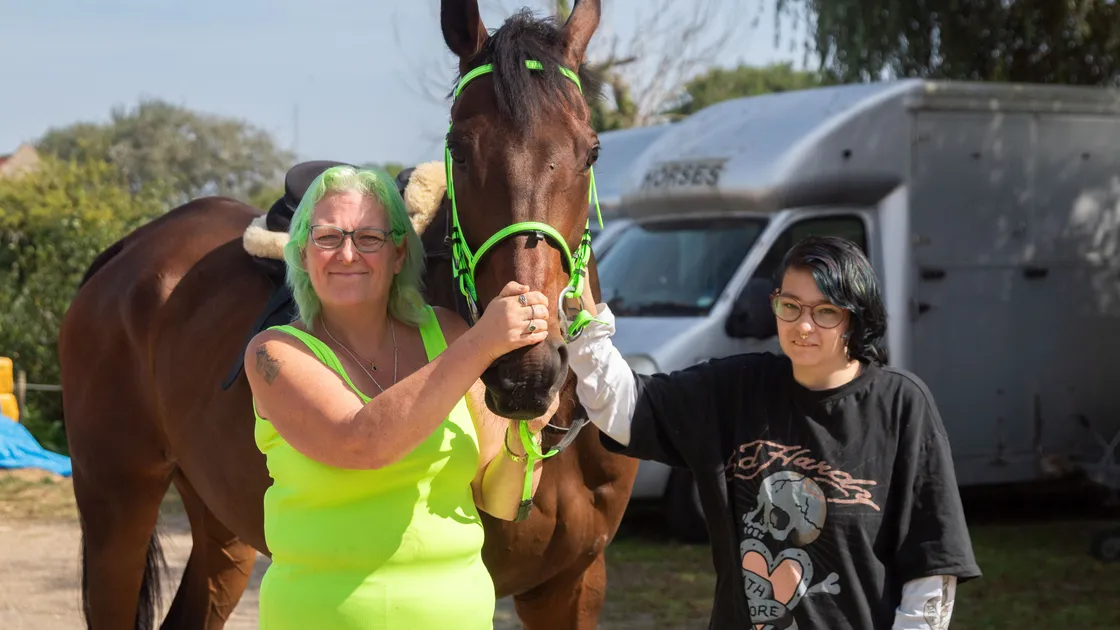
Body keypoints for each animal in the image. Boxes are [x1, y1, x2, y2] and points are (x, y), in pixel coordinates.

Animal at [56, 0, 640, 628]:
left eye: (592, 151)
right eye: (459, 149)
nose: (526, 372)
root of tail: (130, 248)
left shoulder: (571, 585)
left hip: (220, 523)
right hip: (117, 505)